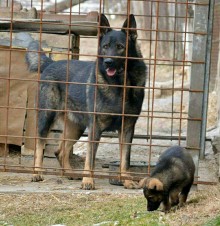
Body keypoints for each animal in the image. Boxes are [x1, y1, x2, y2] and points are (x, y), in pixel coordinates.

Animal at [25, 14, 147, 190]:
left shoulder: (127, 129)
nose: (108, 62)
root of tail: (51, 63)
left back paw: (69, 173)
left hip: (76, 128)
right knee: (39, 145)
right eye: (105, 46)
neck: (119, 85)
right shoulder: (95, 128)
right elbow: (90, 158)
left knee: (60, 151)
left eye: (120, 47)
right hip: (46, 118)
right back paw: (37, 173)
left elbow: (125, 159)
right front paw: (88, 181)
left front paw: (127, 180)